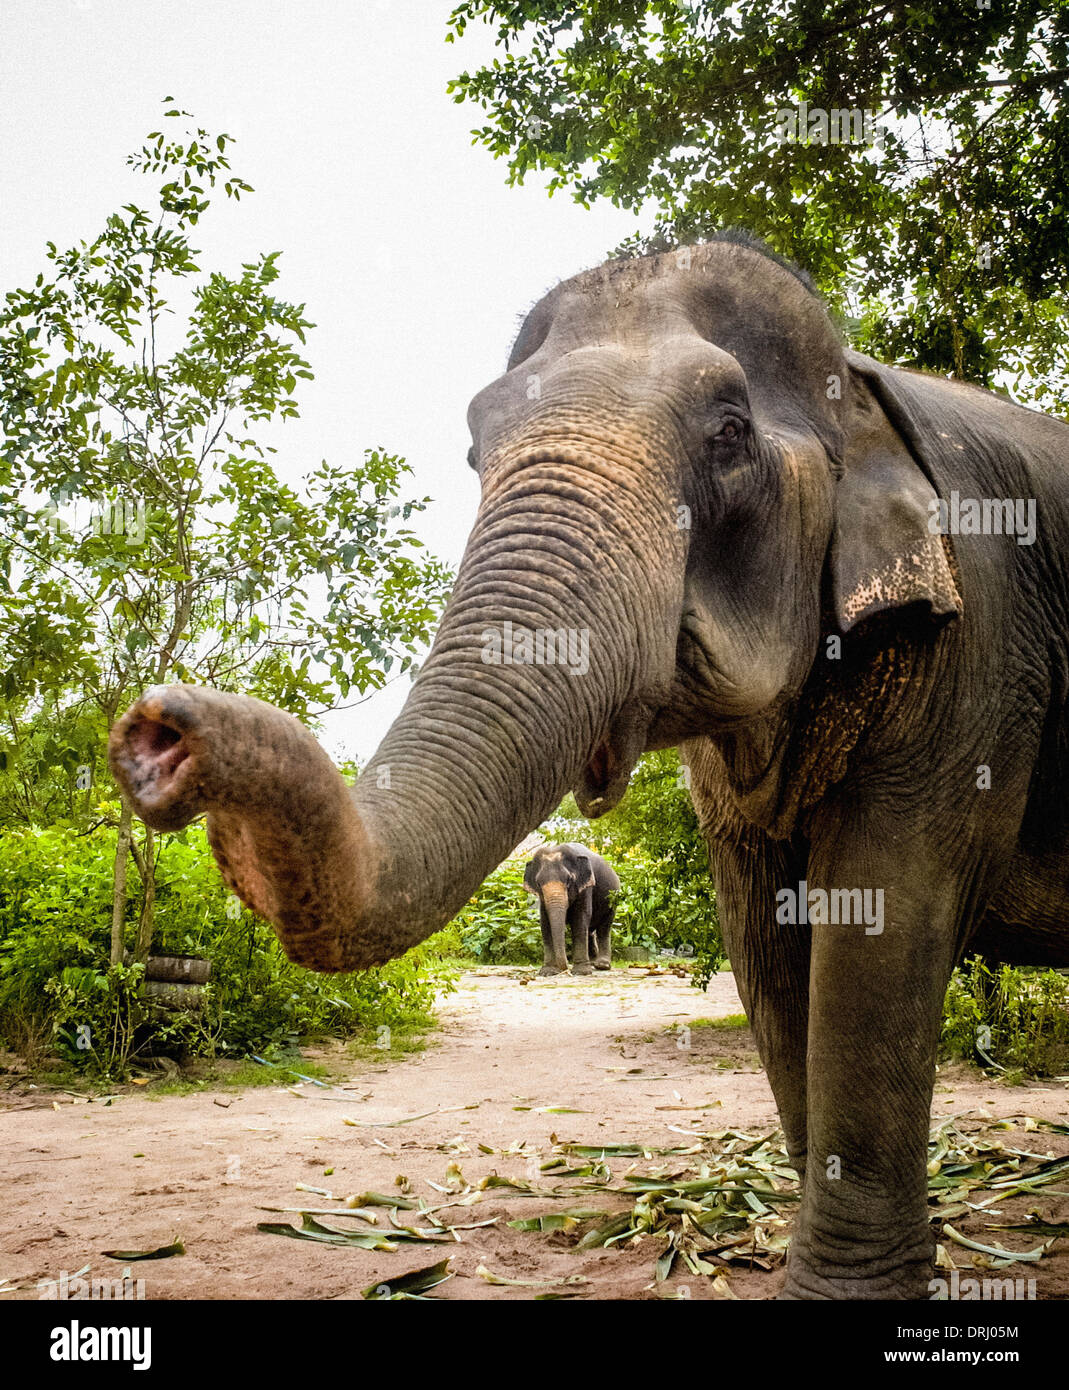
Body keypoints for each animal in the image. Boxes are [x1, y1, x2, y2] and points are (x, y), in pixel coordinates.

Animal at [522, 842, 619, 976]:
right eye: (538, 884)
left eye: (569, 881)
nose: (565, 967)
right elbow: (545, 922)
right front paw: (548, 972)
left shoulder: (585, 888)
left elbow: (580, 918)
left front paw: (581, 972)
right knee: (590, 931)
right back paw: (593, 962)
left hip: (613, 899)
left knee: (604, 927)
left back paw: (602, 965)